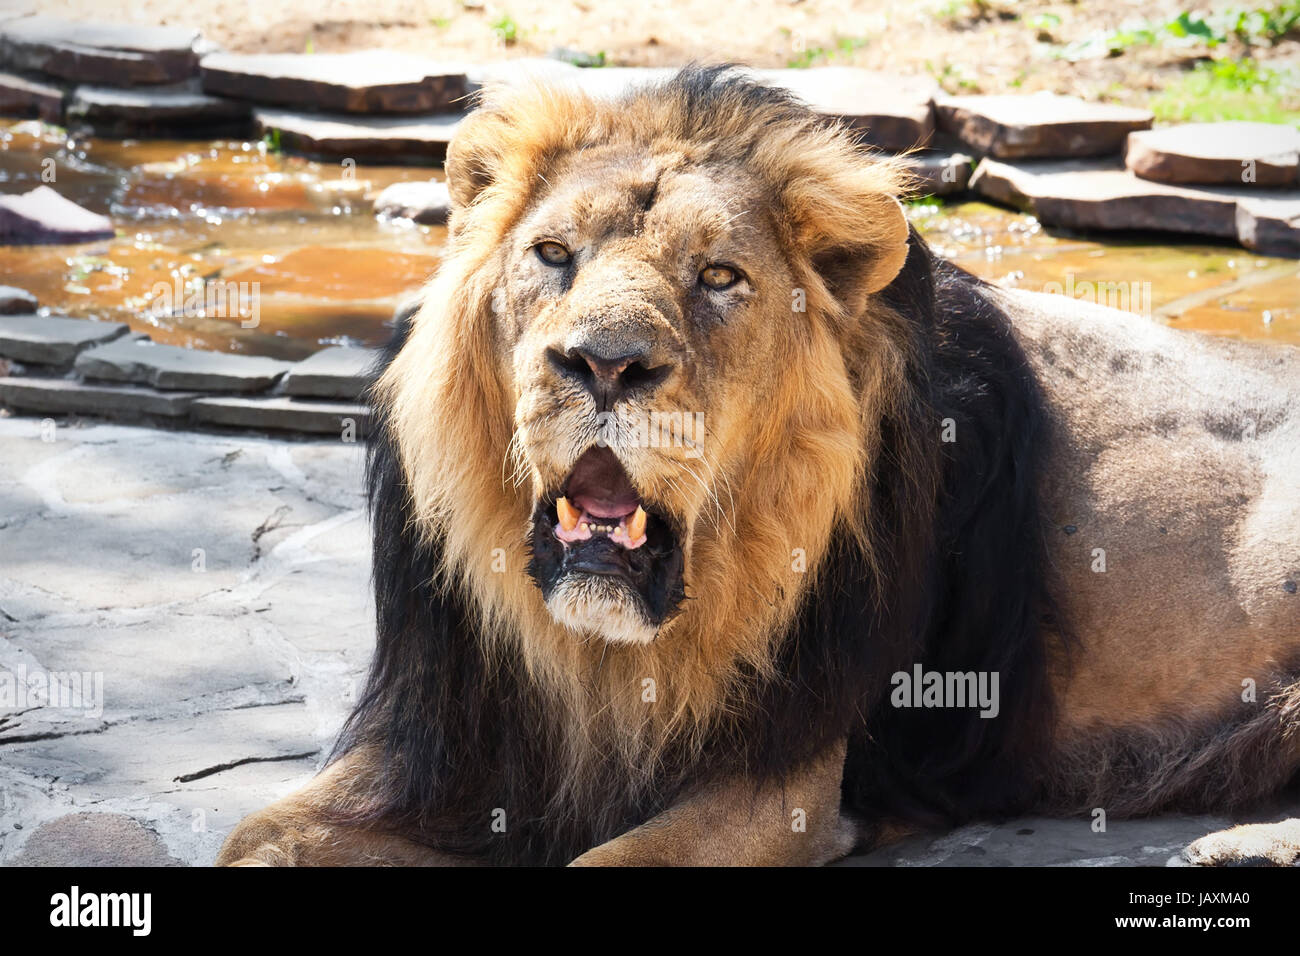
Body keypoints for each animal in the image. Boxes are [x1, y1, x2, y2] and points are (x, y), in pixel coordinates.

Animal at [217, 67, 1300, 867]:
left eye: (718, 277)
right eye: (554, 254)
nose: (603, 364)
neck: (609, 660)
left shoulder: (790, 785)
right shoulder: (436, 757)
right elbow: (252, 837)